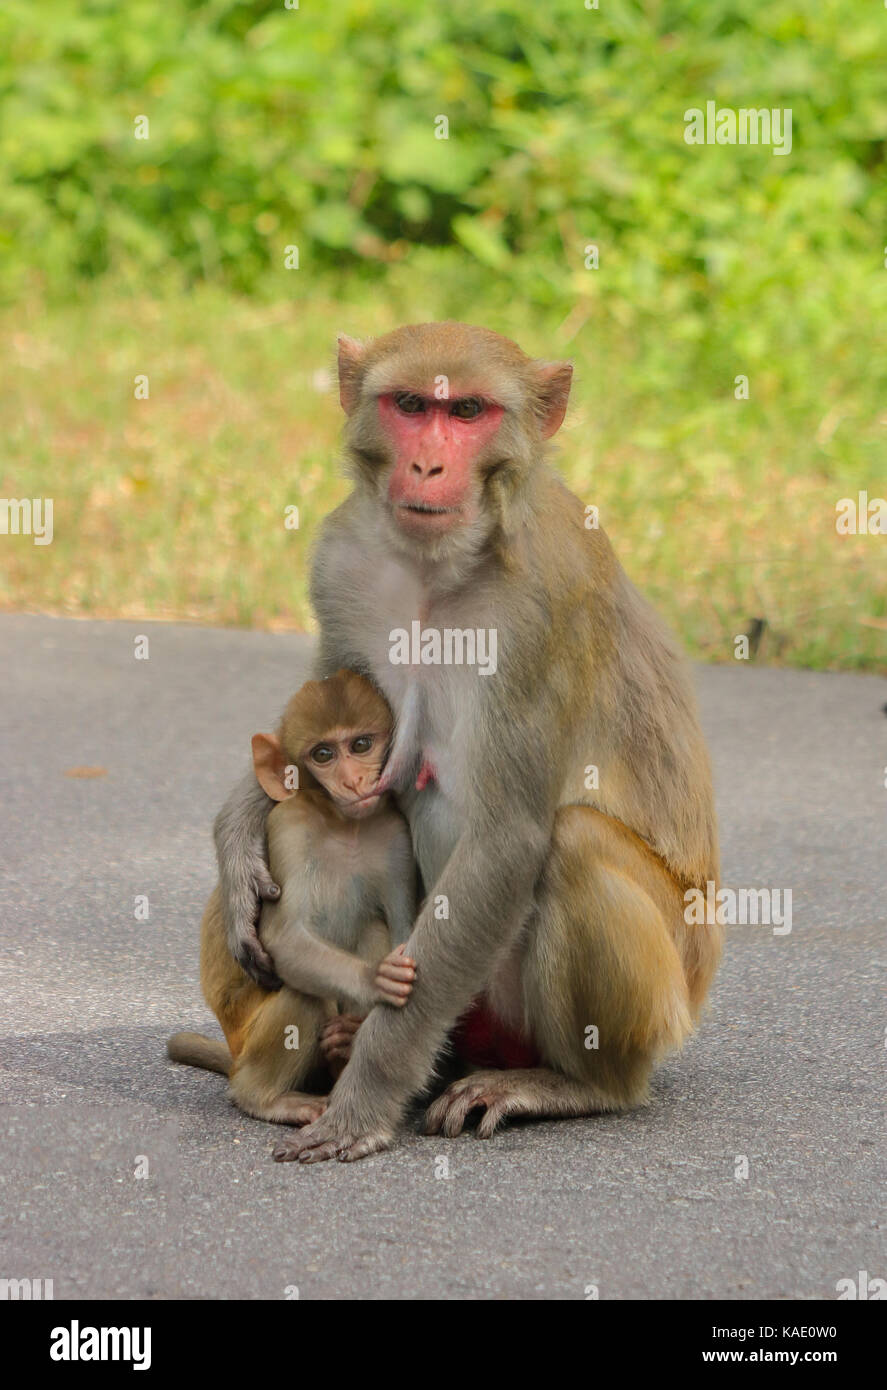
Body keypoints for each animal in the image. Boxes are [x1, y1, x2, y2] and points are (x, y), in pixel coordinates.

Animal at [167, 669, 418, 1125]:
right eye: (323, 754)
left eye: (360, 745)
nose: (353, 780)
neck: (345, 826)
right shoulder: (289, 828)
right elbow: (284, 938)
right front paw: (376, 980)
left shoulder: (395, 836)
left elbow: (405, 929)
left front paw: (355, 1029)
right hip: (246, 1035)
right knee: (306, 994)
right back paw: (263, 1097)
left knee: (373, 927)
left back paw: (342, 1050)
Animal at [211, 321, 722, 1163]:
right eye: (412, 406)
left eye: (469, 412)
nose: (427, 463)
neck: (439, 568)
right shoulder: (341, 563)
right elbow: (307, 717)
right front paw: (238, 843)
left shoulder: (540, 609)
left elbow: (509, 836)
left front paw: (362, 1105)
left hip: (658, 1005)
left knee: (573, 841)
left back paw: (576, 1085)